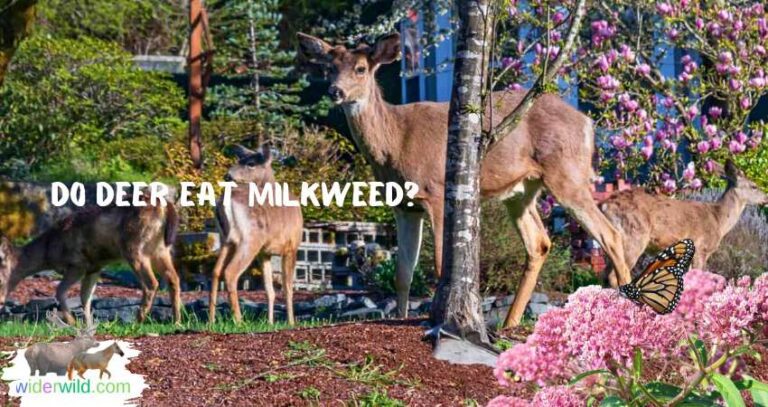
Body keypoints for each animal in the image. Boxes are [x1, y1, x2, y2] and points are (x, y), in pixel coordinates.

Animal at [0, 192, 182, 326]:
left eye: (0, 280)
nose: (1, 302)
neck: (49, 251)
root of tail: (164, 206)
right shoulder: (95, 267)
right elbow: (85, 297)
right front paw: (88, 324)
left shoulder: (77, 263)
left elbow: (60, 291)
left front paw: (72, 321)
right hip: (160, 249)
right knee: (173, 278)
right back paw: (176, 321)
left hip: (133, 246)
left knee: (151, 283)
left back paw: (138, 320)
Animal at [208, 144, 304, 325]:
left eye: (251, 163)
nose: (227, 175)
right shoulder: (291, 246)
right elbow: (288, 288)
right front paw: (291, 322)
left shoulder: (264, 253)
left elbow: (269, 290)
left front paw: (270, 322)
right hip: (250, 239)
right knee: (230, 272)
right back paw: (239, 321)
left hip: (226, 240)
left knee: (216, 271)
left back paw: (211, 320)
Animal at [297, 32, 631, 327]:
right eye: (329, 68)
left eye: (361, 68)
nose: (335, 91)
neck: (395, 142)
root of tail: (587, 123)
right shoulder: (404, 206)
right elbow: (403, 272)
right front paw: (400, 317)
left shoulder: (436, 191)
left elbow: (439, 264)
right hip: (521, 190)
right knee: (539, 243)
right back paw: (509, 323)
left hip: (567, 173)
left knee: (611, 235)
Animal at [600, 159, 768, 284]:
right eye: (754, 186)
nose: (766, 198)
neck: (719, 220)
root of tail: (605, 205)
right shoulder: (702, 247)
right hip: (633, 236)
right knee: (615, 275)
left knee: (605, 274)